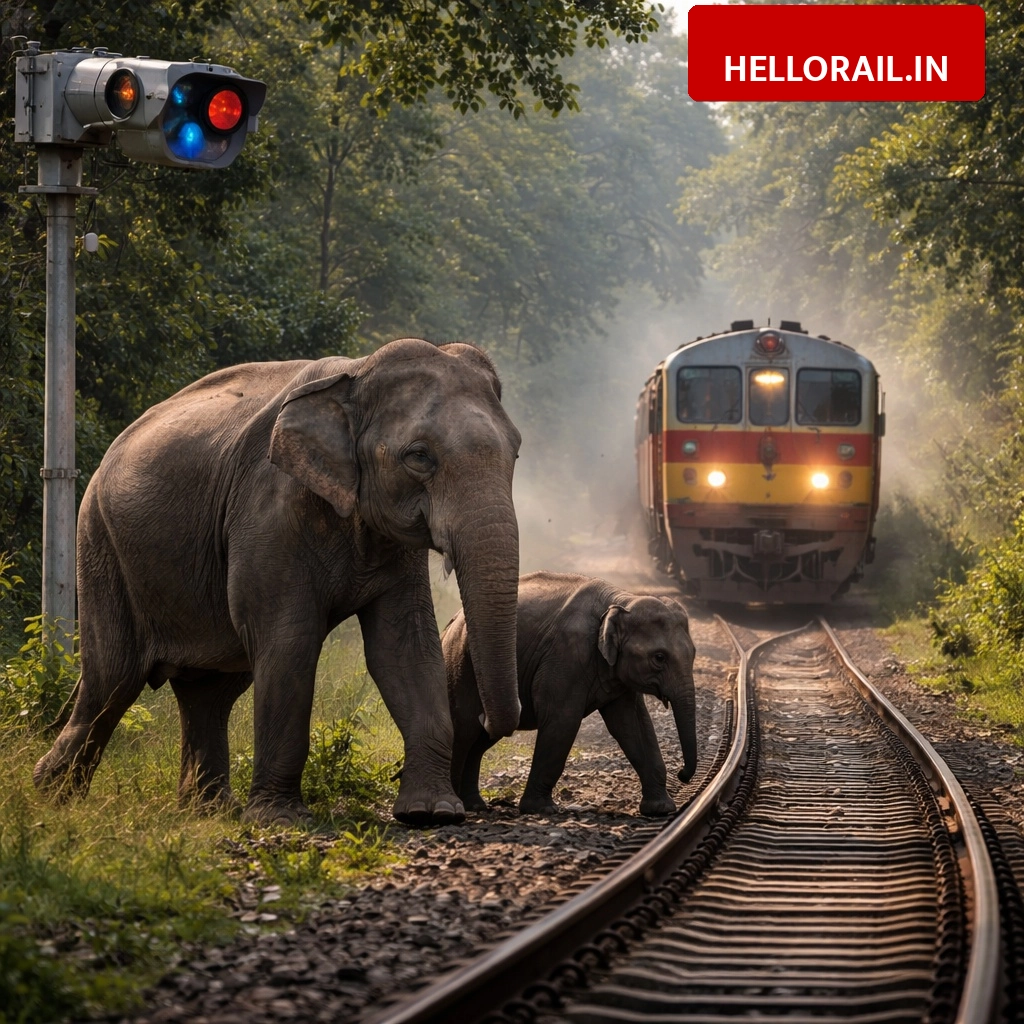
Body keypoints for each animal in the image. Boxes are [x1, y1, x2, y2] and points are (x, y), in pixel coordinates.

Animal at [33, 338, 523, 826]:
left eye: (516, 452)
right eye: (419, 456)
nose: (488, 721)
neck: (356, 374)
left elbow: (403, 647)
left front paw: (432, 812)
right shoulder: (268, 513)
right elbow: (290, 640)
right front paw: (280, 820)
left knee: (209, 691)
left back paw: (208, 809)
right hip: (101, 544)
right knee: (112, 680)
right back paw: (51, 796)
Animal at [443, 571, 697, 817]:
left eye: (694, 653)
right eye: (659, 658)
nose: (683, 775)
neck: (621, 600)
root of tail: (450, 624)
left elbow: (632, 725)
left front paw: (660, 809)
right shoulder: (566, 656)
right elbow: (562, 721)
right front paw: (541, 809)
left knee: (481, 739)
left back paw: (474, 805)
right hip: (462, 669)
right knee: (465, 730)